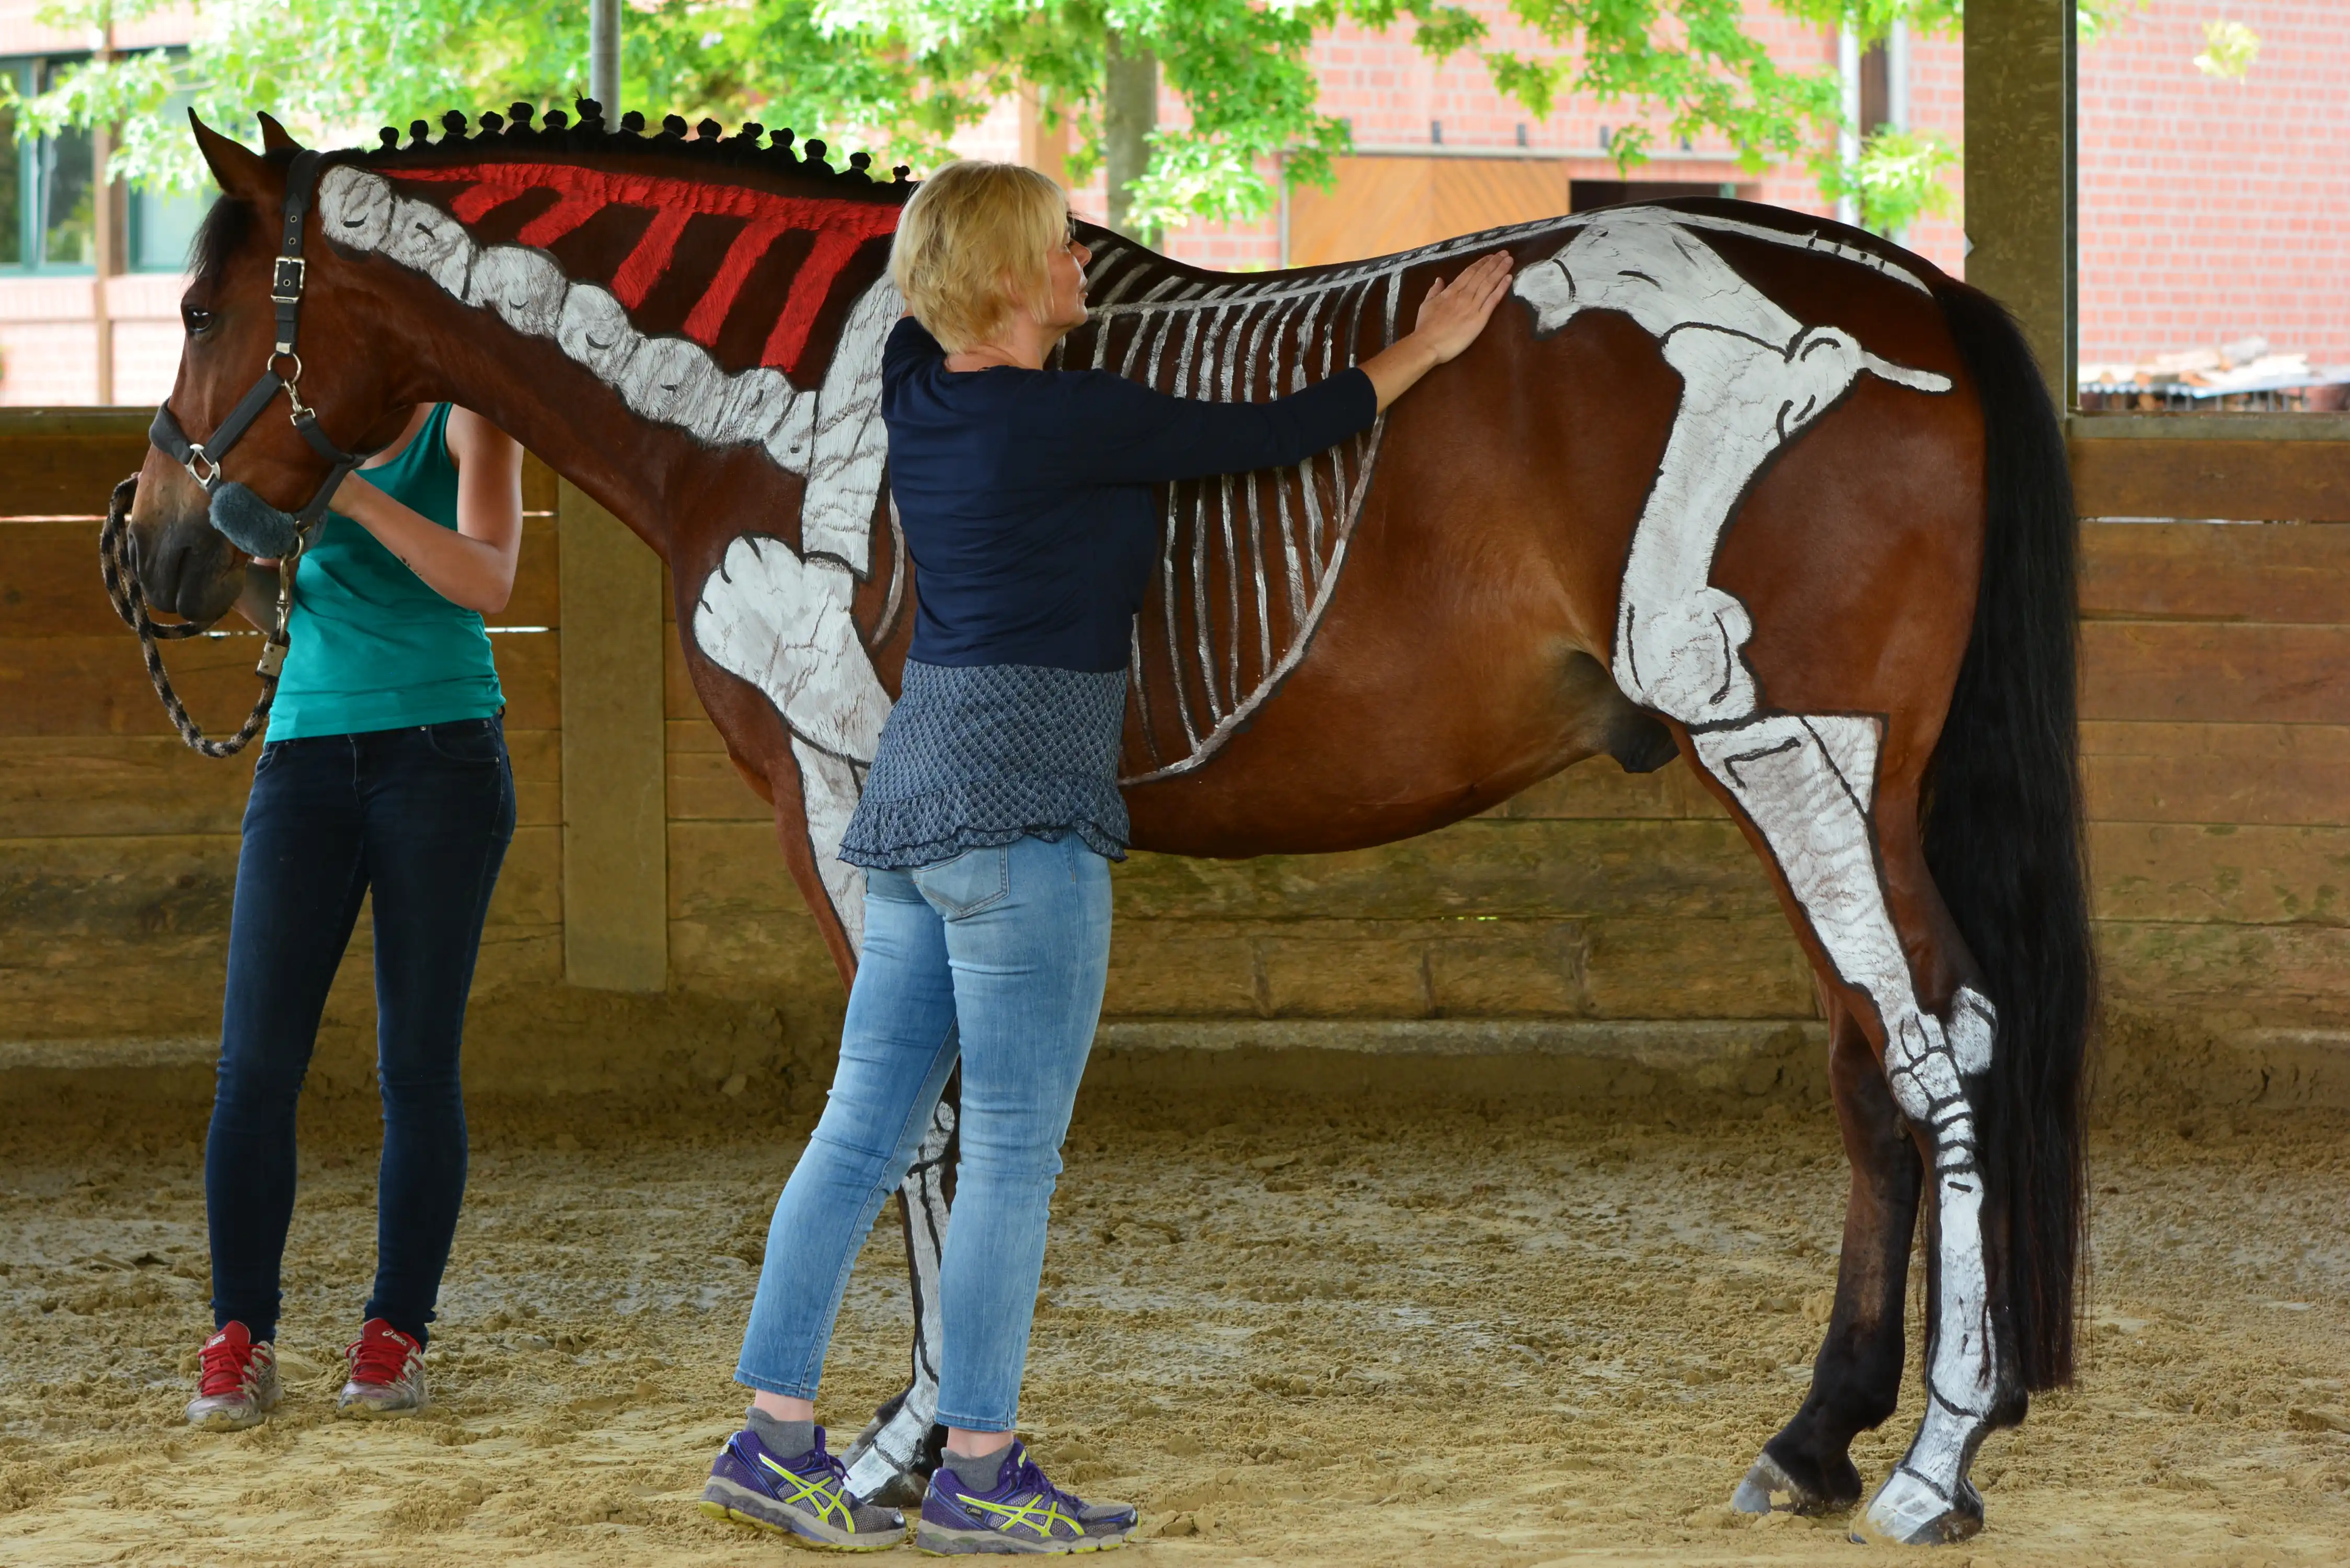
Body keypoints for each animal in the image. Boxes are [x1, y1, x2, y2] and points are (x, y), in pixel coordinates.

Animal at [122, 103, 2092, 1546]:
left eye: (204, 313)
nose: (149, 554)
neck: (790, 406)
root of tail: (1906, 296)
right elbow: (940, 1120)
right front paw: (921, 1437)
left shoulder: (852, 814)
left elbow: (917, 1117)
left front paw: (900, 1447)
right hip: (1802, 779)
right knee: (1876, 1064)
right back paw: (1819, 1437)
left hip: (1794, 750)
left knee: (1934, 1045)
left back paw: (1931, 1464)